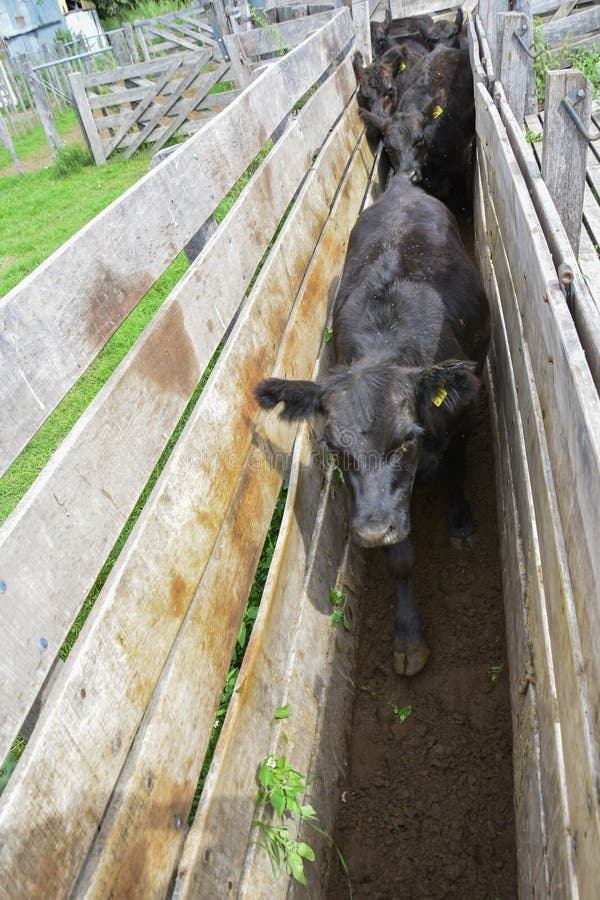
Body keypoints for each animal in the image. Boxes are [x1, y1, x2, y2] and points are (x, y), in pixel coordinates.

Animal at [255, 174, 490, 676]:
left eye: (404, 442)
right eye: (338, 451)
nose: (370, 533)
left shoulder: (463, 416)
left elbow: (457, 471)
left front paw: (461, 523)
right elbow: (399, 560)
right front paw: (408, 639)